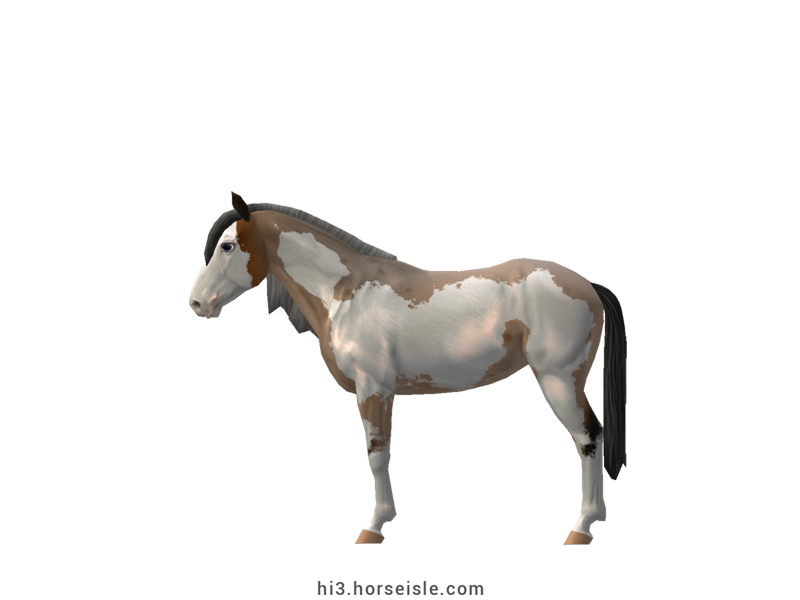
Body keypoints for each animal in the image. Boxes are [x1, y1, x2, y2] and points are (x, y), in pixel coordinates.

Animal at [190, 200, 626, 539]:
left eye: (228, 245)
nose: (196, 302)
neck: (345, 293)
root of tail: (587, 287)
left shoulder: (371, 388)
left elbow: (377, 452)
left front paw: (377, 524)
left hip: (560, 380)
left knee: (587, 438)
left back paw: (585, 525)